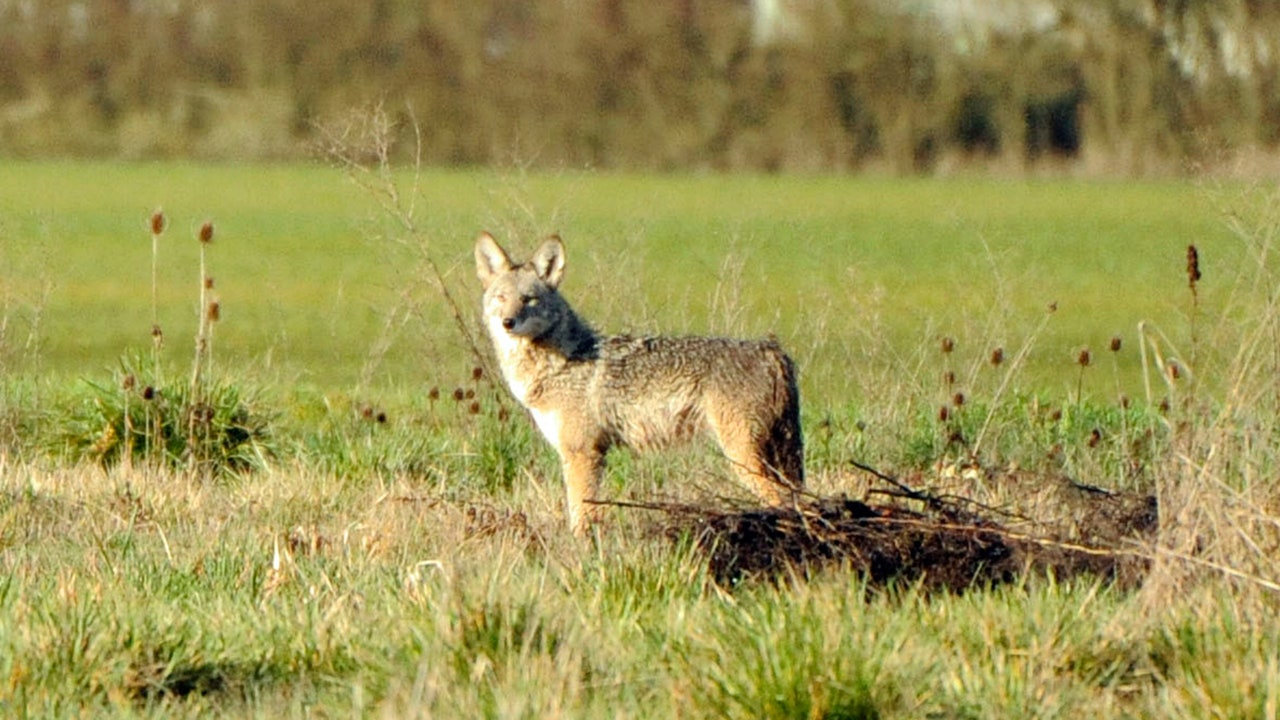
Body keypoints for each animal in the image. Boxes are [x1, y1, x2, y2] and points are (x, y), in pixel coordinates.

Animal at [474, 231, 804, 536]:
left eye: (529, 299)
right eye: (501, 298)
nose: (508, 322)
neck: (558, 362)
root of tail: (771, 351)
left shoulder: (582, 453)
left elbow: (580, 515)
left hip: (743, 458)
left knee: (784, 500)